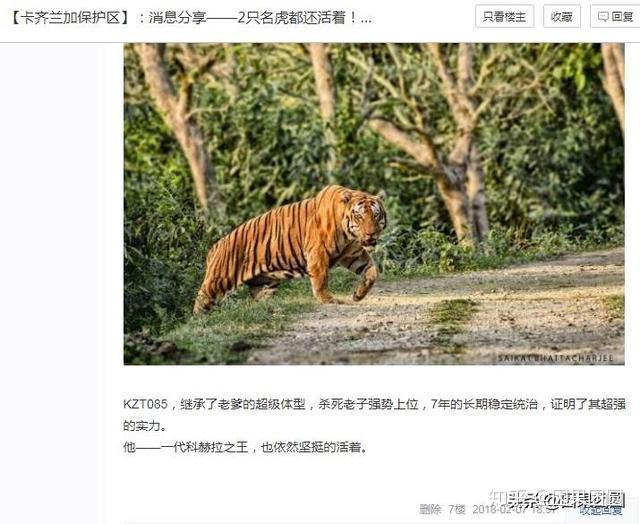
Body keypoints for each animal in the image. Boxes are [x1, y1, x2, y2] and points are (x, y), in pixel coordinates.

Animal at [193, 185, 387, 315]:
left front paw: (358, 295)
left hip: (264, 284)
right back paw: (199, 321)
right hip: (218, 281)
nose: (371, 234)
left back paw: (272, 310)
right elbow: (321, 278)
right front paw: (327, 300)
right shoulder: (318, 251)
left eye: (376, 215)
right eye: (359, 216)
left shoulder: (353, 253)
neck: (348, 236)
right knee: (201, 300)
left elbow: (372, 271)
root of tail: (214, 247)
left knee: (260, 299)